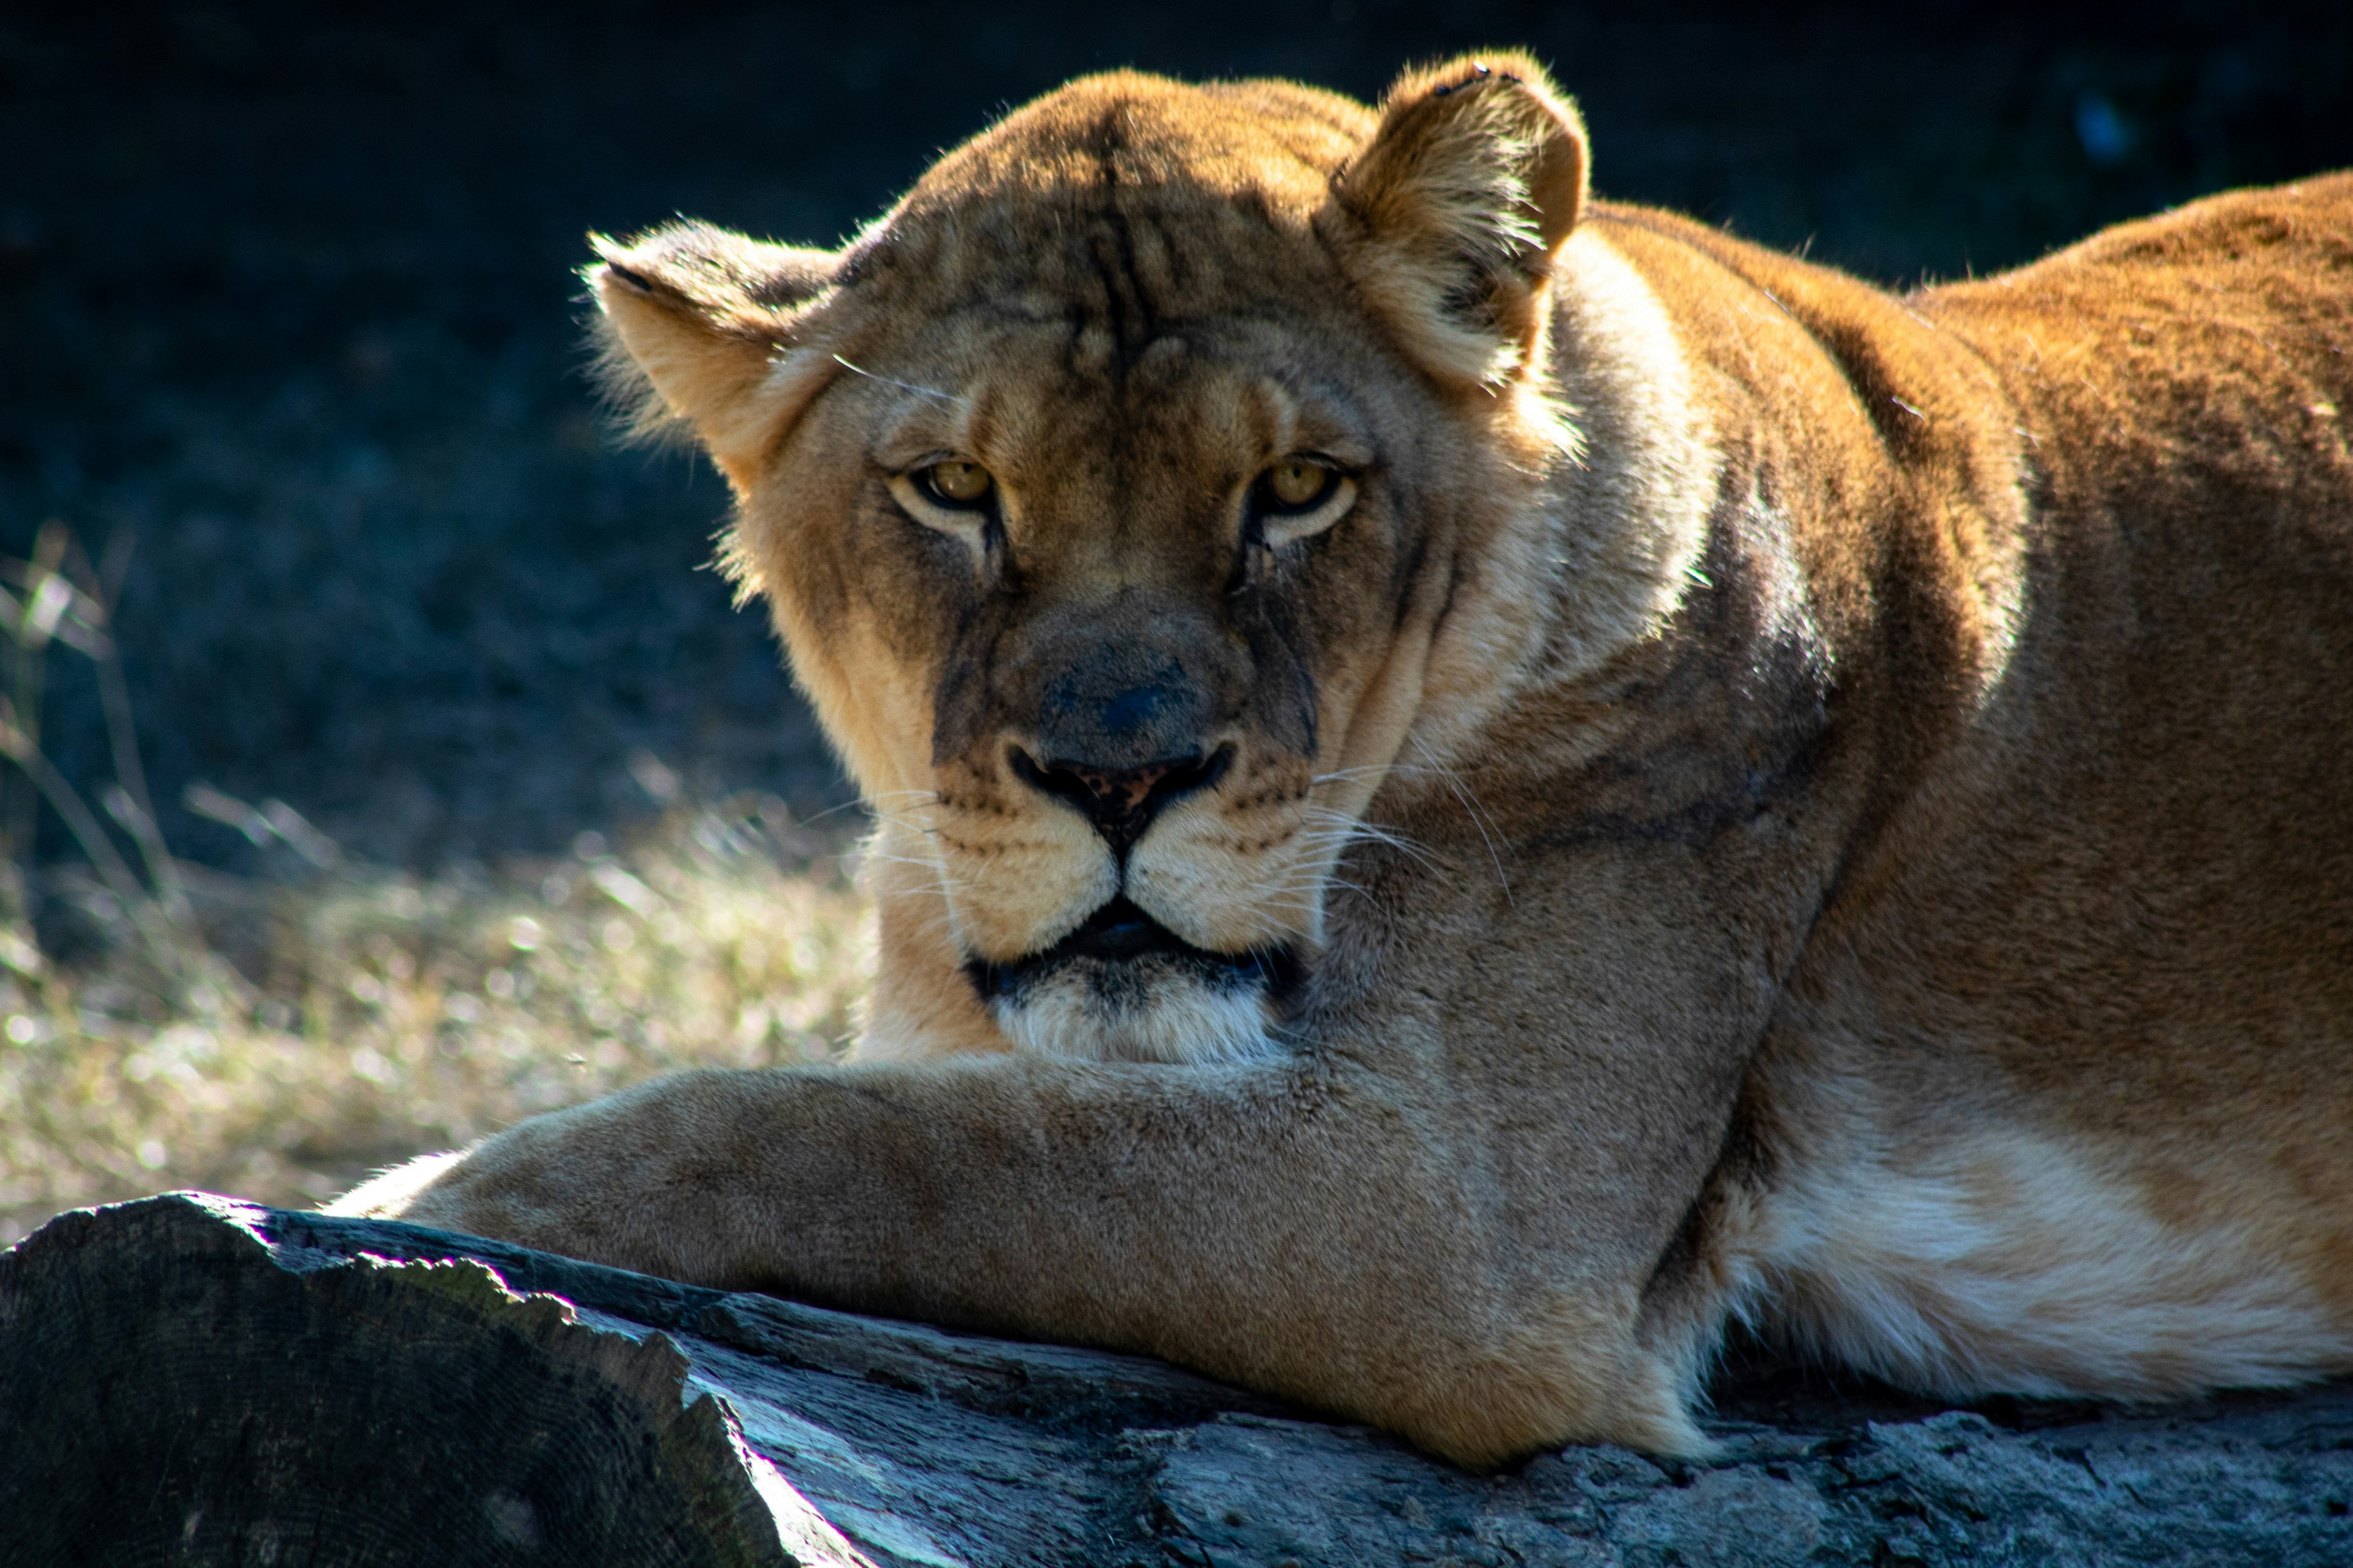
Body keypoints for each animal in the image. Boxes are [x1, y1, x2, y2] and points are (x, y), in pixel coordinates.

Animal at [333, 54, 2353, 1466]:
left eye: (1297, 486)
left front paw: (412, 1198)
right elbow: (876, 1107)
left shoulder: (1458, 1218)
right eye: (953, 487)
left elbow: (830, 1137)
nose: (1120, 779)